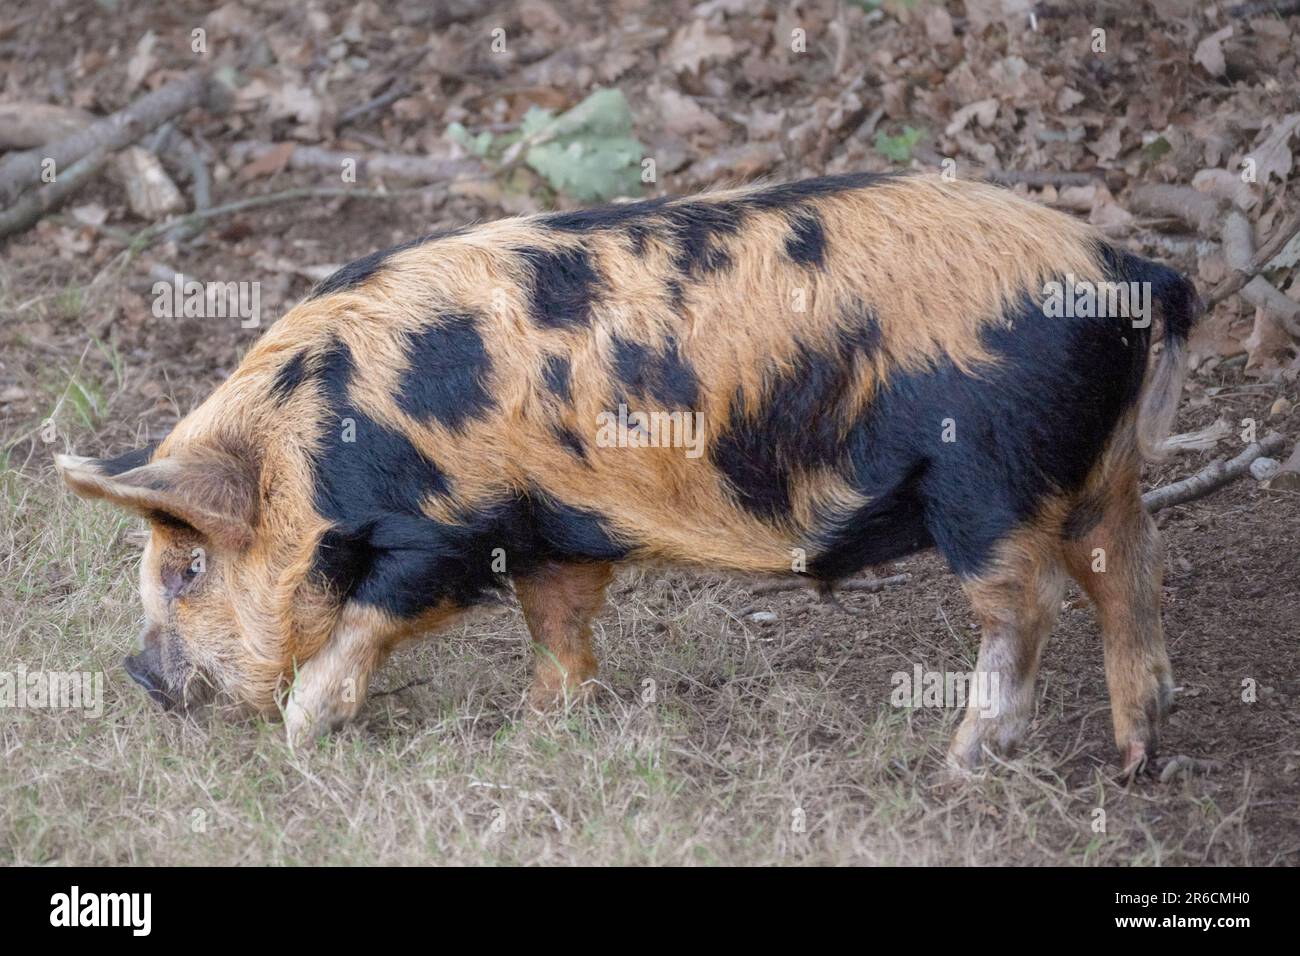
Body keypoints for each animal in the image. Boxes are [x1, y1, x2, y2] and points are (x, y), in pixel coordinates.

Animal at [56, 172, 1199, 774]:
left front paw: (302, 736)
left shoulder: (448, 524)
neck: (321, 439)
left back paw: (957, 766)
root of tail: (1131, 272)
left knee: (1030, 603)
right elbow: (559, 621)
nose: (138, 675)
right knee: (1132, 566)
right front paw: (537, 728)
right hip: (1097, 471)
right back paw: (1136, 759)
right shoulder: (549, 526)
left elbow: (380, 612)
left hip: (989, 482)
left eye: (189, 567)